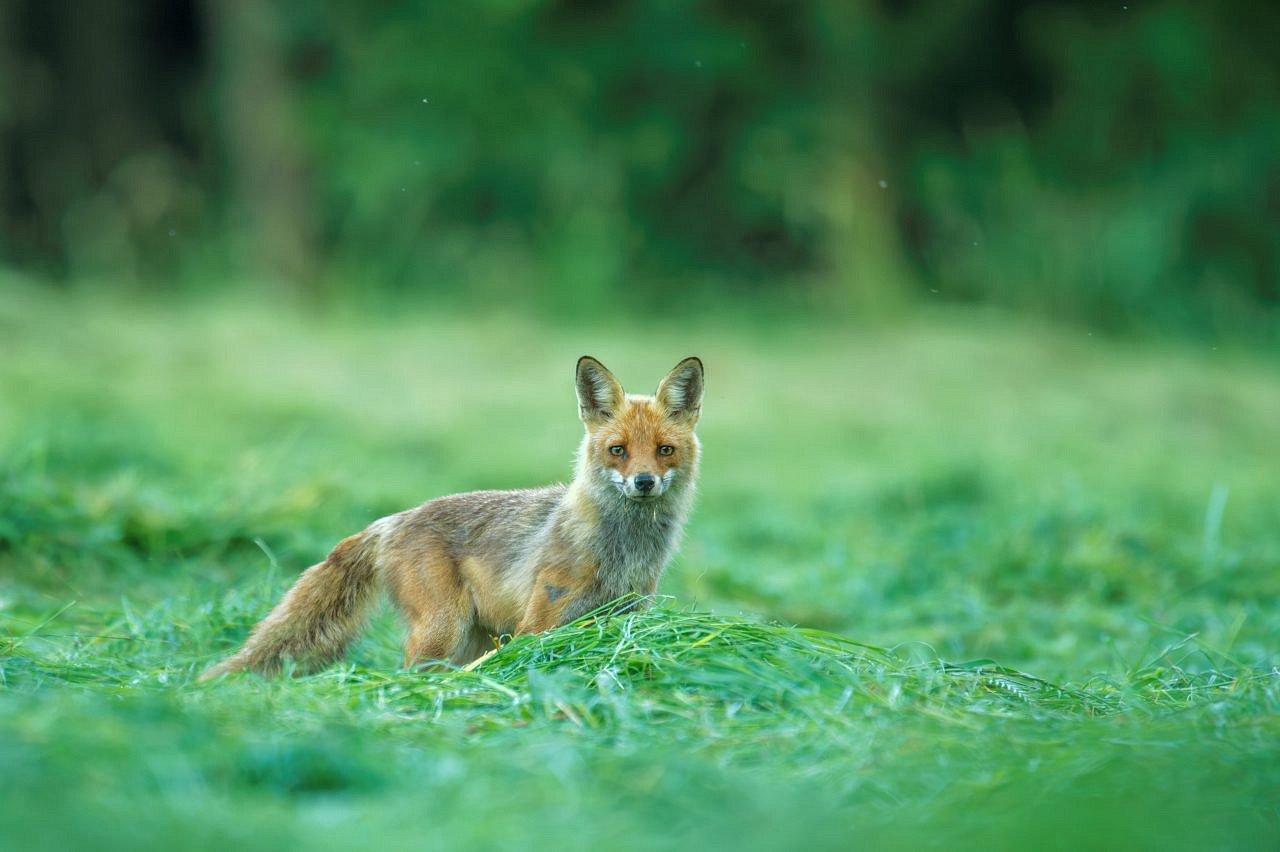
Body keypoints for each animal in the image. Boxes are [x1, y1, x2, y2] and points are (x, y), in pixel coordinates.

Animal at [200, 355, 704, 680]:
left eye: (664, 450)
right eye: (618, 450)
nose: (643, 482)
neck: (620, 550)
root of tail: (395, 519)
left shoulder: (628, 615)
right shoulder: (539, 622)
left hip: (470, 639)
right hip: (443, 630)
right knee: (407, 674)